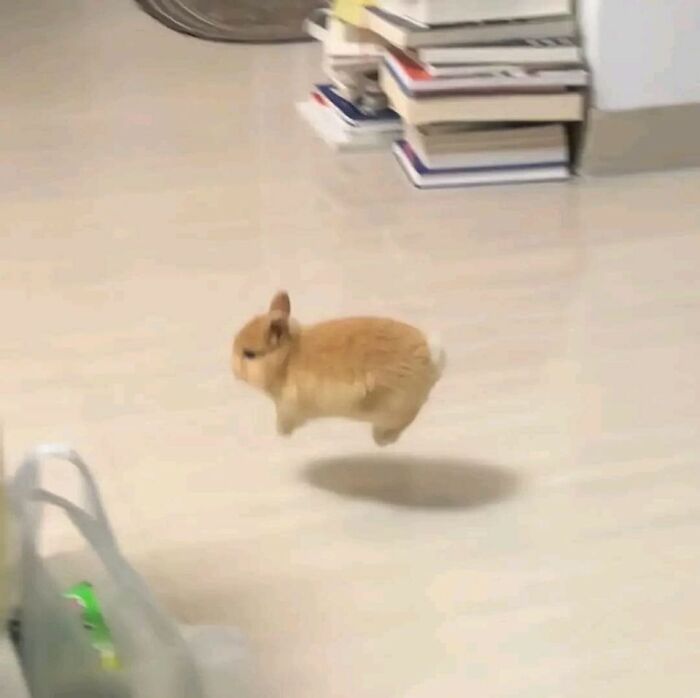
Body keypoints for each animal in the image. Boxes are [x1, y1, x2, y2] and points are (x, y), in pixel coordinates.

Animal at [232, 290, 446, 446]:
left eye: (249, 354)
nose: (233, 370)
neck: (286, 360)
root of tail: (432, 356)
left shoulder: (289, 408)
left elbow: (285, 423)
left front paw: (281, 435)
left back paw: (382, 440)